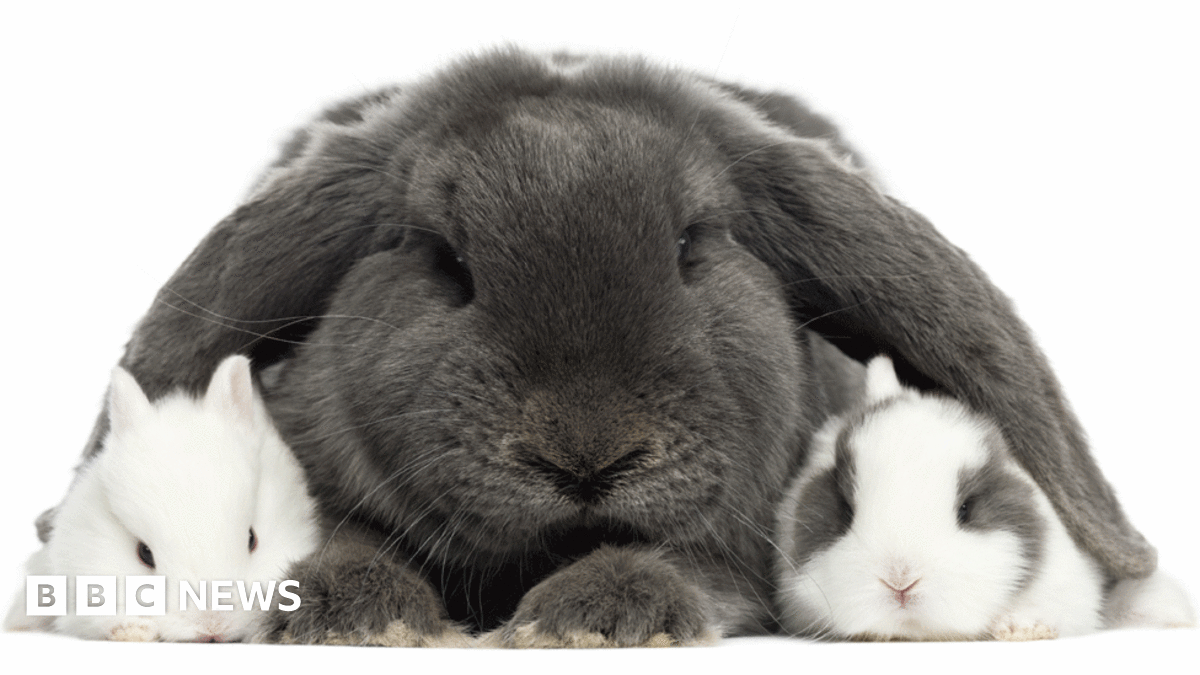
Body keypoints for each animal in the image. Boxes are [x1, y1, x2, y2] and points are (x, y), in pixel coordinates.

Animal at [60, 48, 1155, 646]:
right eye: (446, 261)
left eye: (694, 245)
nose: (584, 456)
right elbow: (343, 536)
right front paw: (356, 609)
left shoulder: (744, 546)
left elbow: (679, 557)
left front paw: (592, 614)